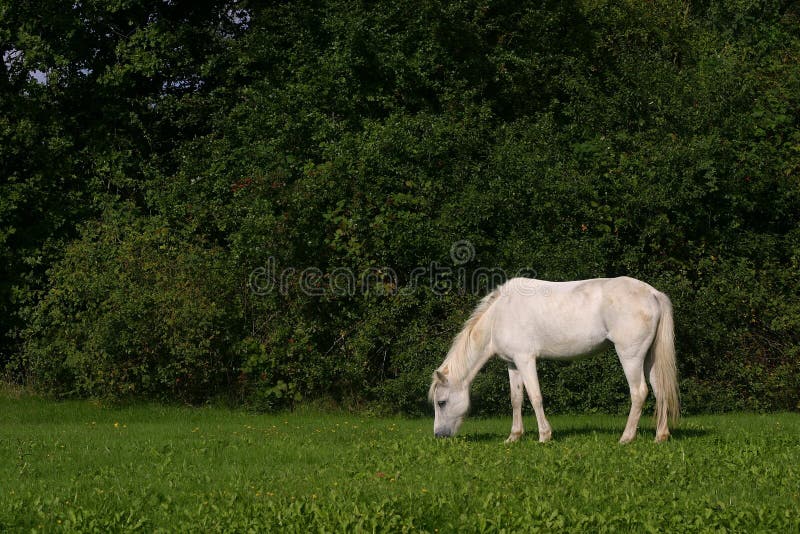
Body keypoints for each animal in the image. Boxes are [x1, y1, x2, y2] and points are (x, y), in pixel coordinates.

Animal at [429, 276, 679, 443]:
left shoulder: (526, 359)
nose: (439, 435)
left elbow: (535, 397)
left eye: (441, 402)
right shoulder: (513, 363)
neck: (500, 315)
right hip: (649, 359)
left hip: (630, 355)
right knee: (660, 390)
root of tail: (653, 293)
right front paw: (513, 437)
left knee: (639, 392)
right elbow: (516, 399)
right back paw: (660, 436)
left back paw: (626, 438)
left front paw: (544, 436)